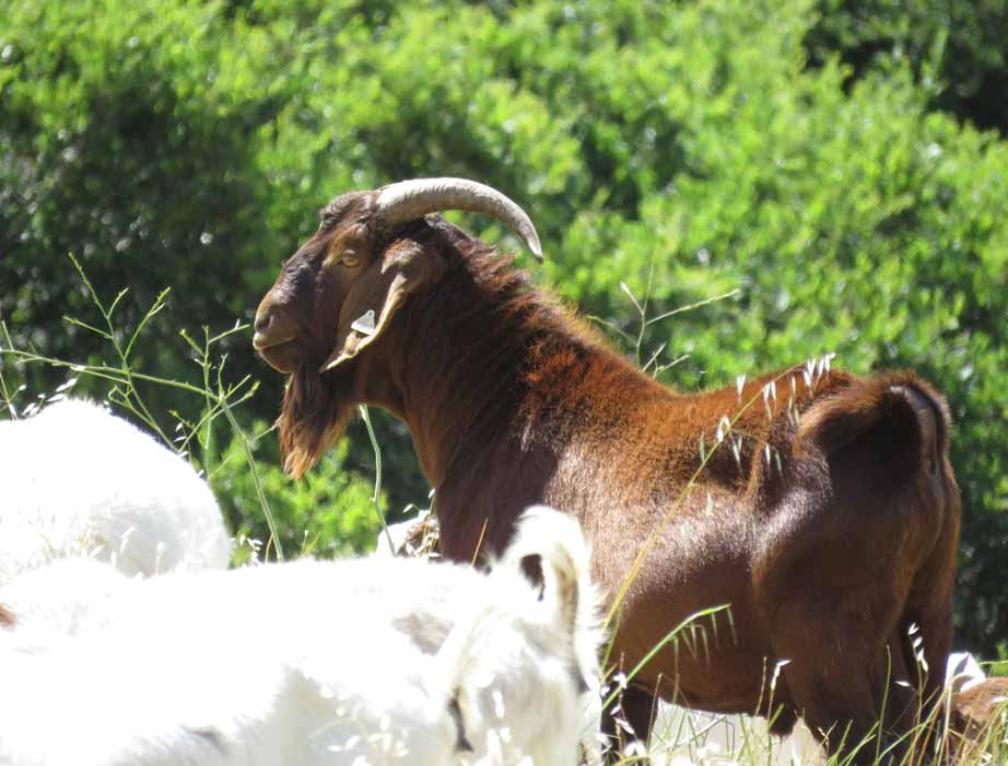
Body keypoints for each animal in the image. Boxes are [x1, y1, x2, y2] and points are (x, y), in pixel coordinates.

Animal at [253, 177, 961, 763]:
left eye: (350, 255)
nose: (265, 322)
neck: (510, 409)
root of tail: (905, 415)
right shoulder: (630, 676)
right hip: (926, 641)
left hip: (837, 676)